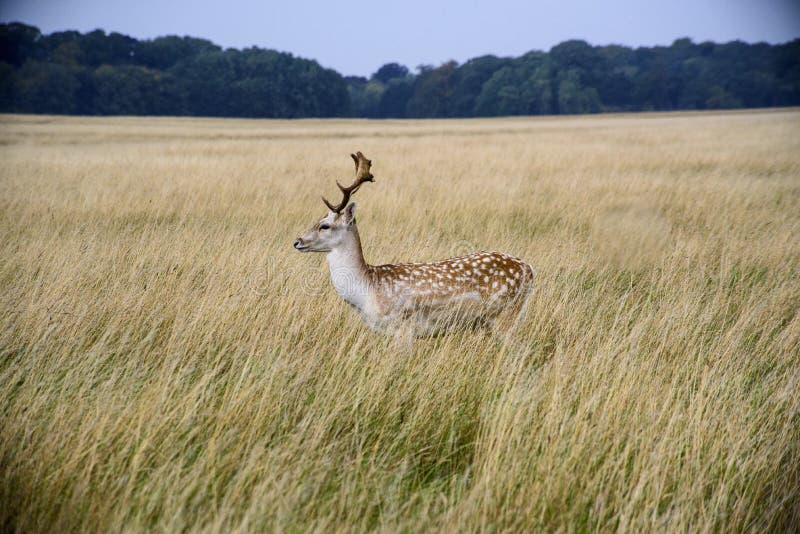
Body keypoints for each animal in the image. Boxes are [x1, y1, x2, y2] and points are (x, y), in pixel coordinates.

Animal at [293, 151, 536, 337]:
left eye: (324, 226)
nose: (297, 241)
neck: (368, 291)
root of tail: (529, 269)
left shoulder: (404, 327)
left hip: (507, 314)